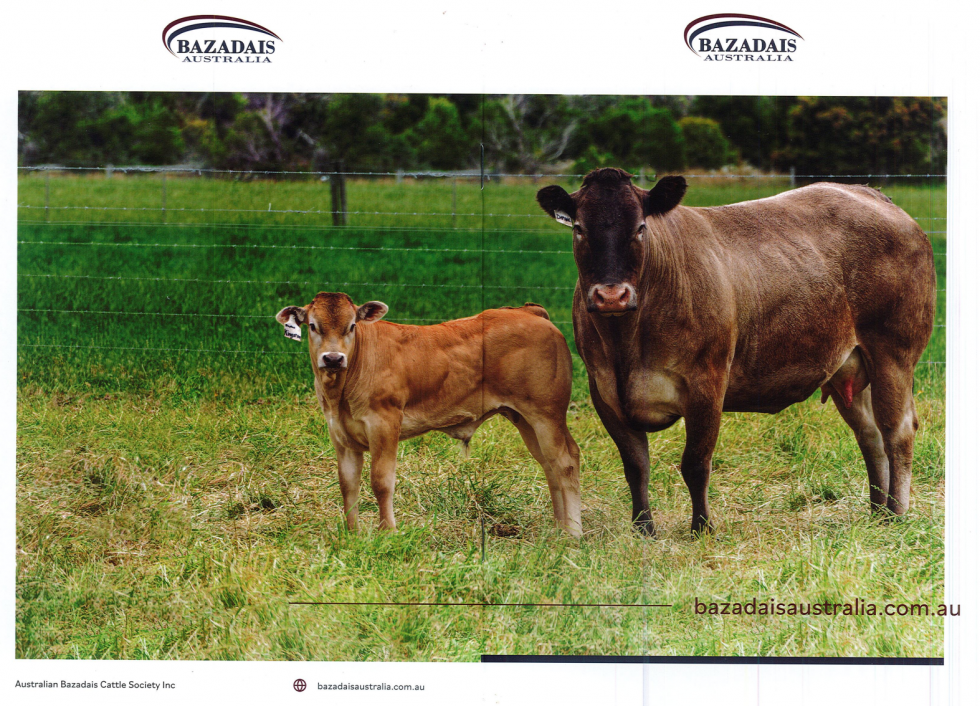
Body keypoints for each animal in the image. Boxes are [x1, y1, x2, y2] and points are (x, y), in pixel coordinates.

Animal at [275, 293, 582, 536]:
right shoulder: (340, 434)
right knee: (549, 464)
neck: (340, 393)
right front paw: (353, 535)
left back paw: (573, 532)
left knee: (565, 461)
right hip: (525, 418)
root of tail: (528, 311)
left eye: (351, 326)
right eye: (313, 326)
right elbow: (348, 484)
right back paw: (559, 528)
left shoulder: (384, 424)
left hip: (547, 414)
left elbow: (381, 481)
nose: (333, 358)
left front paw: (387, 532)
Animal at [536, 168, 936, 536]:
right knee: (871, 436)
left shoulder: (707, 382)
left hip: (893, 353)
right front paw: (643, 529)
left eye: (639, 227)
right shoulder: (604, 391)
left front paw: (702, 528)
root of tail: (869, 193)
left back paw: (897, 514)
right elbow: (636, 466)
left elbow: (695, 463)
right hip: (850, 368)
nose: (611, 295)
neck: (627, 346)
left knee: (897, 431)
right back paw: (877, 513)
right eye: (579, 229)